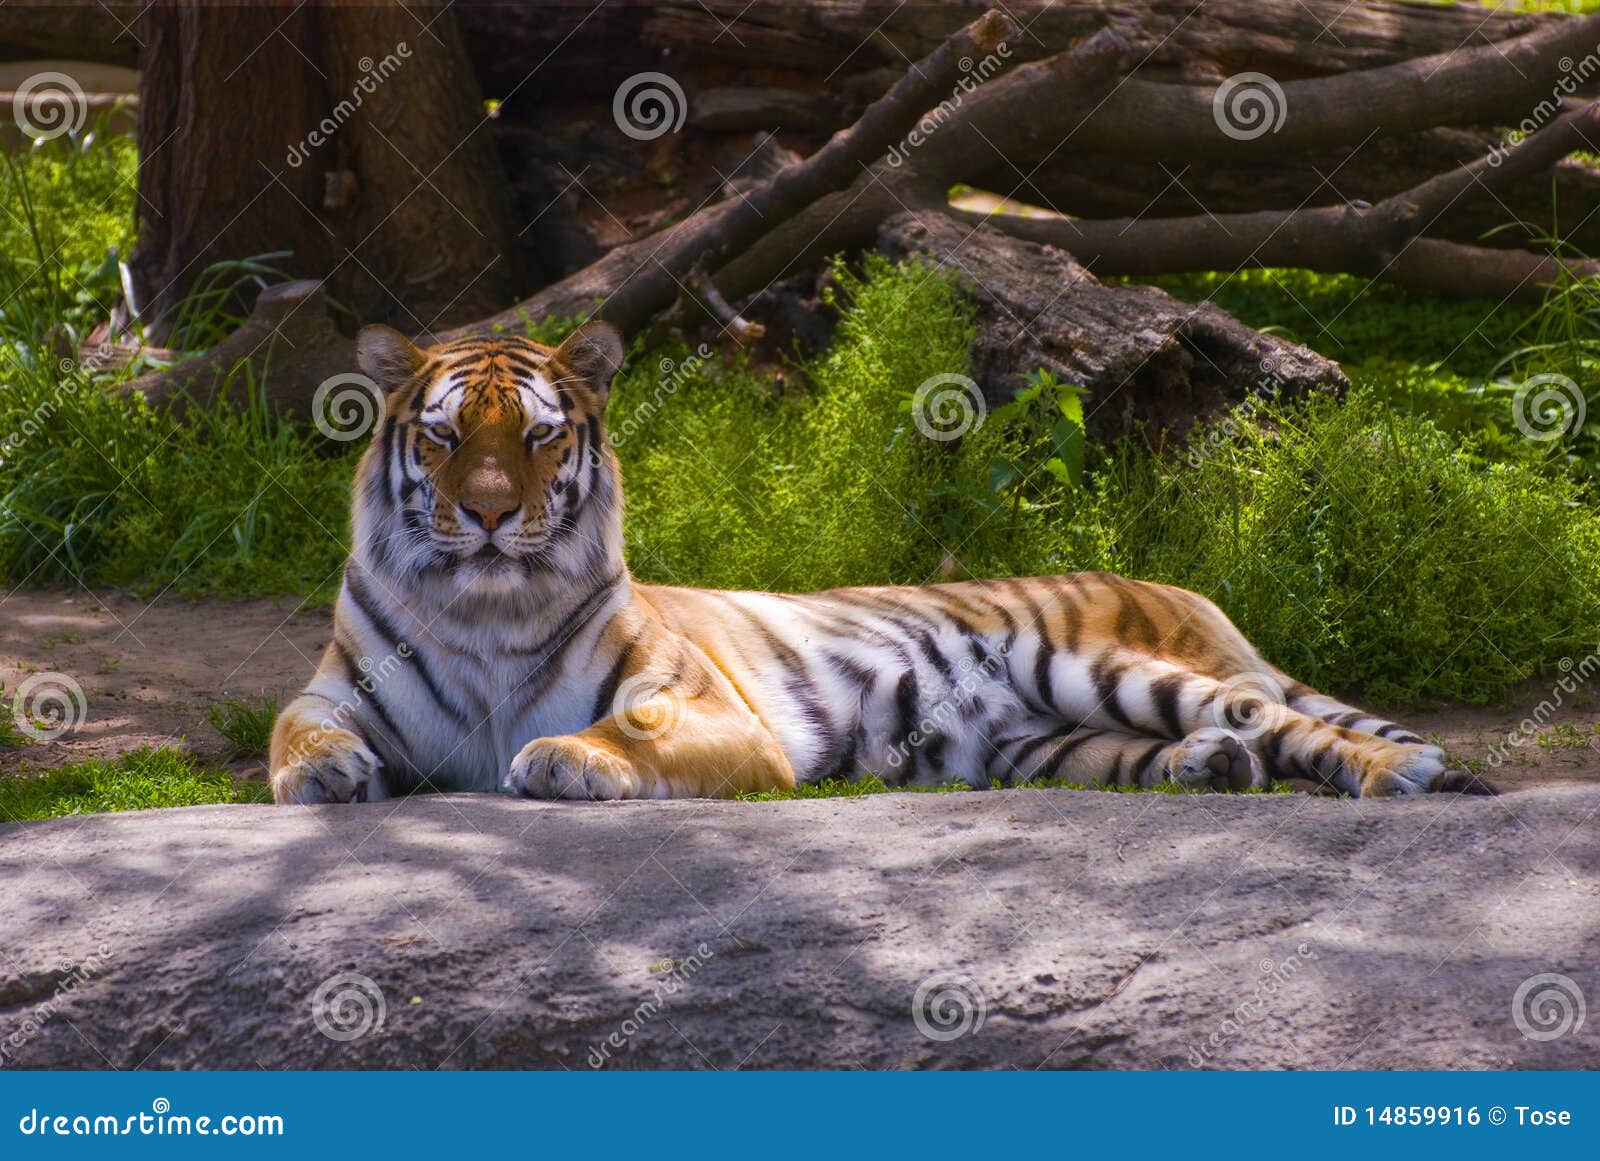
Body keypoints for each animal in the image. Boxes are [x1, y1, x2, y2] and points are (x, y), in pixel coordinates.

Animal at [268, 322, 1480, 806]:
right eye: (441, 436)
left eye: (535, 436)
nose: (485, 513)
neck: (485, 609)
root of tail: (1183, 586)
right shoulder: (336, 689)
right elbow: (296, 729)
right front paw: (322, 776)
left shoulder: (711, 712)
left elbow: (619, 732)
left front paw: (563, 758)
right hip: (1041, 745)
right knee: (1194, 746)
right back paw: (1208, 772)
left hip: (1097, 668)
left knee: (1275, 720)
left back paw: (1396, 774)